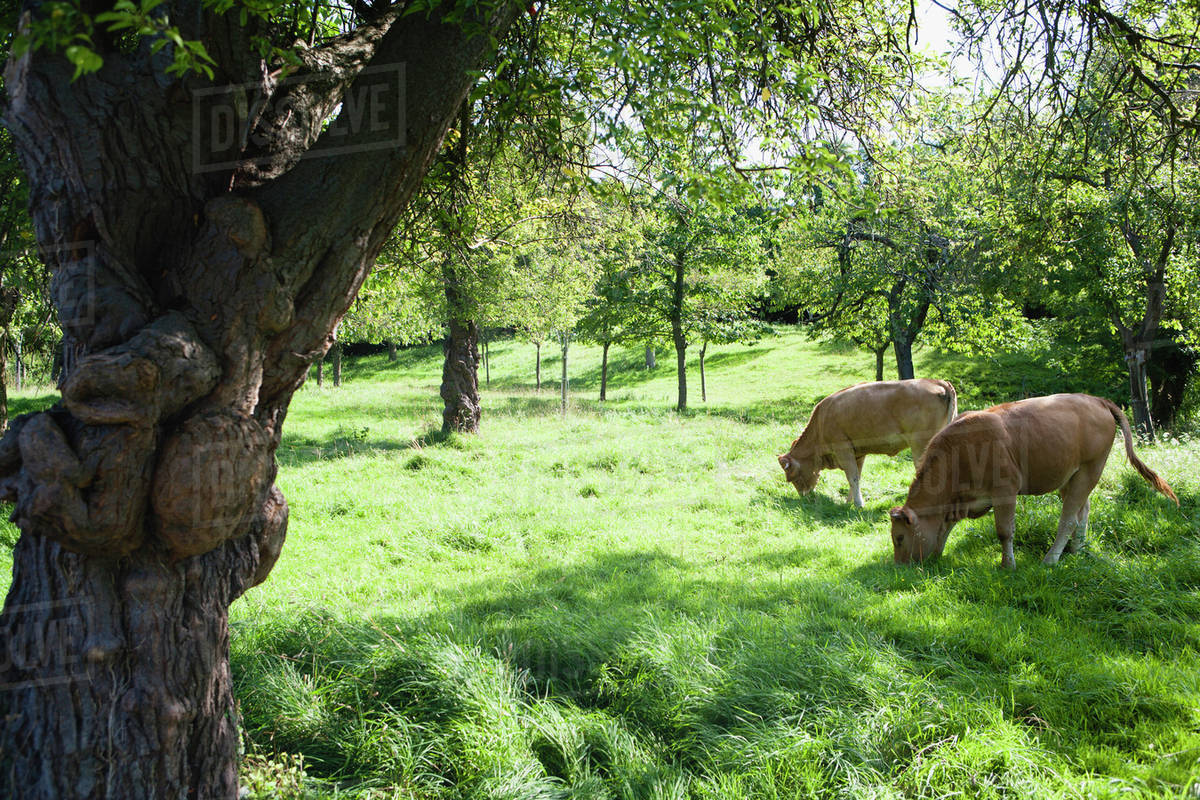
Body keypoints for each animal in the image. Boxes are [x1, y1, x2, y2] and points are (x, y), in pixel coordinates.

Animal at [778, 379, 957, 508]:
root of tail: (937, 382)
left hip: (921, 446)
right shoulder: (858, 454)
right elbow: (856, 476)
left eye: (792, 477)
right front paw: (849, 502)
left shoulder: (843, 449)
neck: (821, 422)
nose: (804, 496)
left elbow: (852, 477)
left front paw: (858, 504)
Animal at [889, 393, 1178, 569]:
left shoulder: (1005, 491)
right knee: (1083, 511)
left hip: (1090, 468)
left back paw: (1051, 559)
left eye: (900, 538)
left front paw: (1008, 565)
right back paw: (1077, 550)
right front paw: (938, 554)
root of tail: (1095, 400)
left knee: (1069, 519)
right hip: (1071, 476)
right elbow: (945, 528)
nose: (900, 567)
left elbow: (1004, 531)